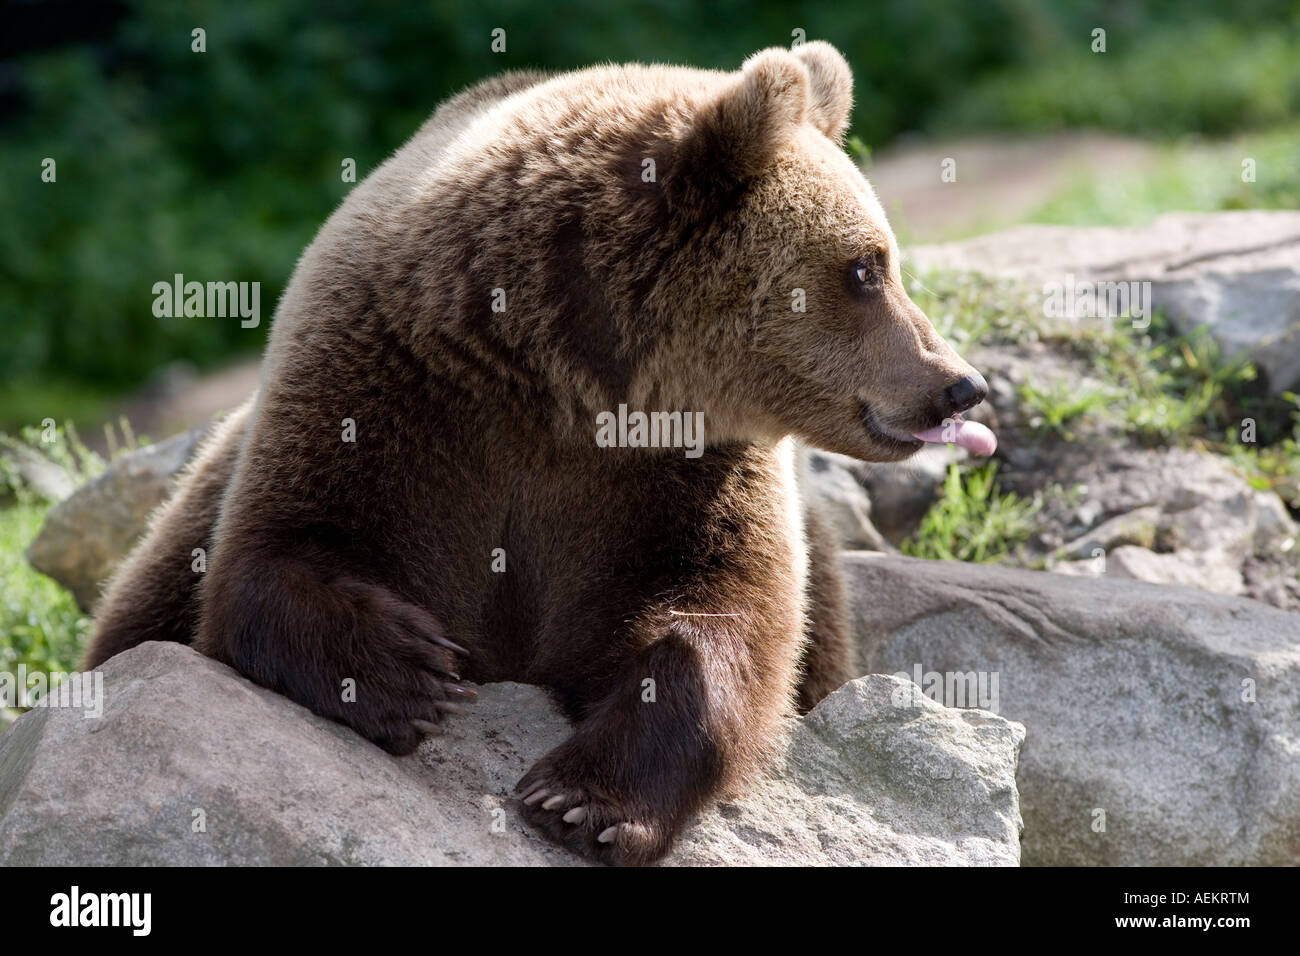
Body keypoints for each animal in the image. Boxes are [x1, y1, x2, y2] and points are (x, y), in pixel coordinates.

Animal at [84, 42, 993, 865]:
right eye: (867, 267)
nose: (960, 384)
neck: (566, 380)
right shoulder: (393, 389)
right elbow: (270, 552)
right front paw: (410, 674)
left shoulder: (682, 472)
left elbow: (725, 615)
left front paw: (583, 800)